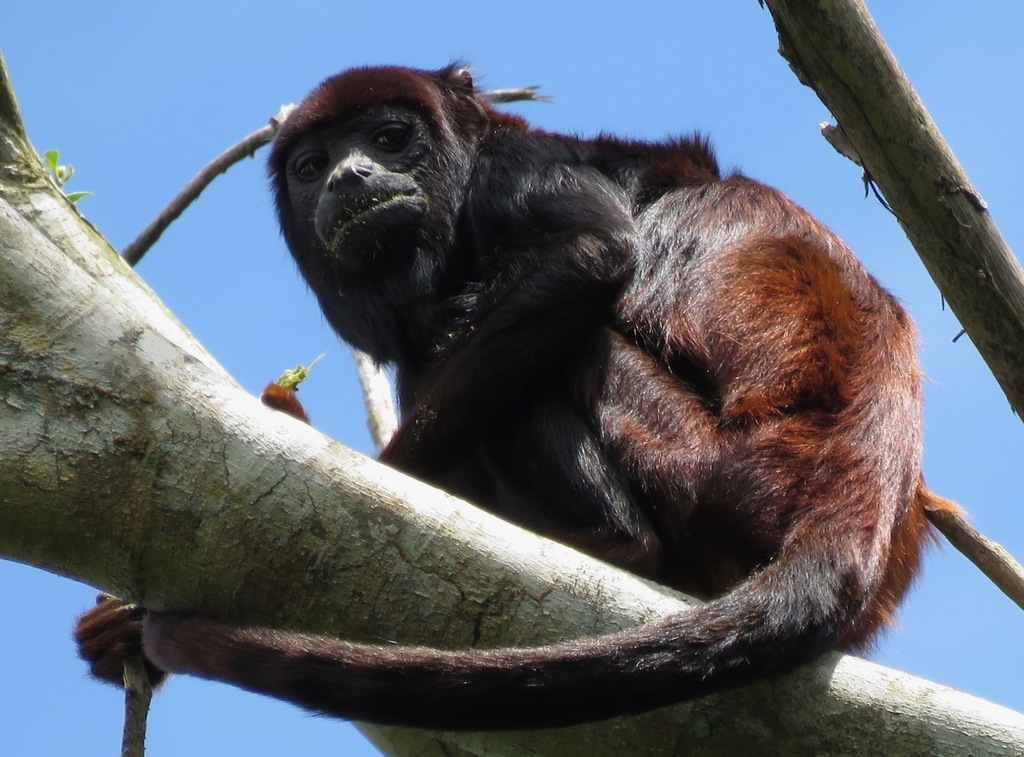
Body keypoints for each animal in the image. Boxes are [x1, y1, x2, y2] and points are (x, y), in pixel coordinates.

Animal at [75, 64, 950, 730]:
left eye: (388, 138)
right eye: (311, 166)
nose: (352, 175)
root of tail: (865, 489)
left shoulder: (515, 170)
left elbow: (589, 256)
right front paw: (117, 631)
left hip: (717, 472)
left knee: (546, 343)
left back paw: (610, 540)